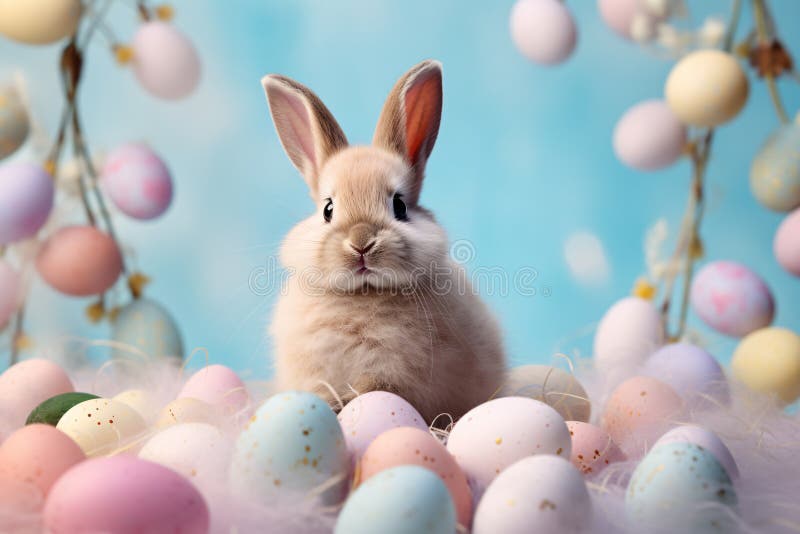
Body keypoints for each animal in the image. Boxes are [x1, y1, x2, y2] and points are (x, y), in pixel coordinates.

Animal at [262, 59, 506, 423]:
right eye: (328, 209)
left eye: (399, 206)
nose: (361, 243)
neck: (363, 294)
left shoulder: (391, 376)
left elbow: (371, 392)